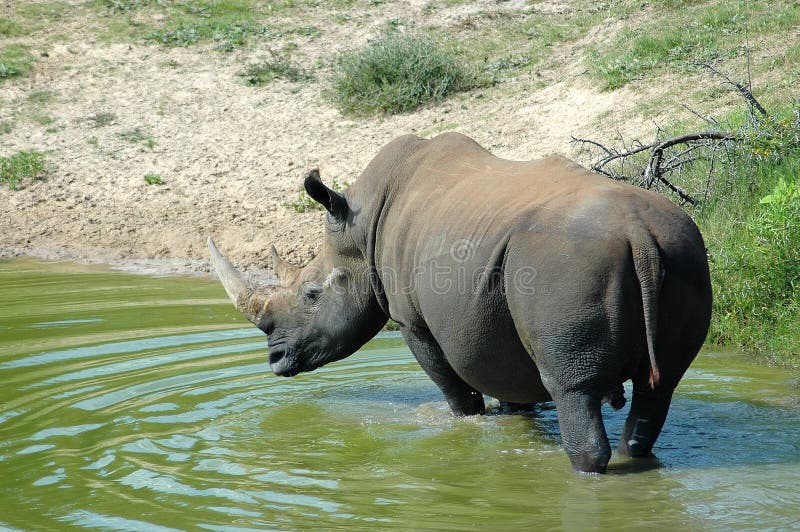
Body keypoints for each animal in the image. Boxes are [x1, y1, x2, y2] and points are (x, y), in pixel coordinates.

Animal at [208, 132, 712, 473]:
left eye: (312, 295)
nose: (275, 360)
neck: (359, 227)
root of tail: (639, 236)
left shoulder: (412, 320)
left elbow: (453, 387)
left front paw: (468, 424)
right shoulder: (492, 321)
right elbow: (510, 383)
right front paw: (513, 421)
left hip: (568, 267)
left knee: (574, 388)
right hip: (683, 249)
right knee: (660, 387)